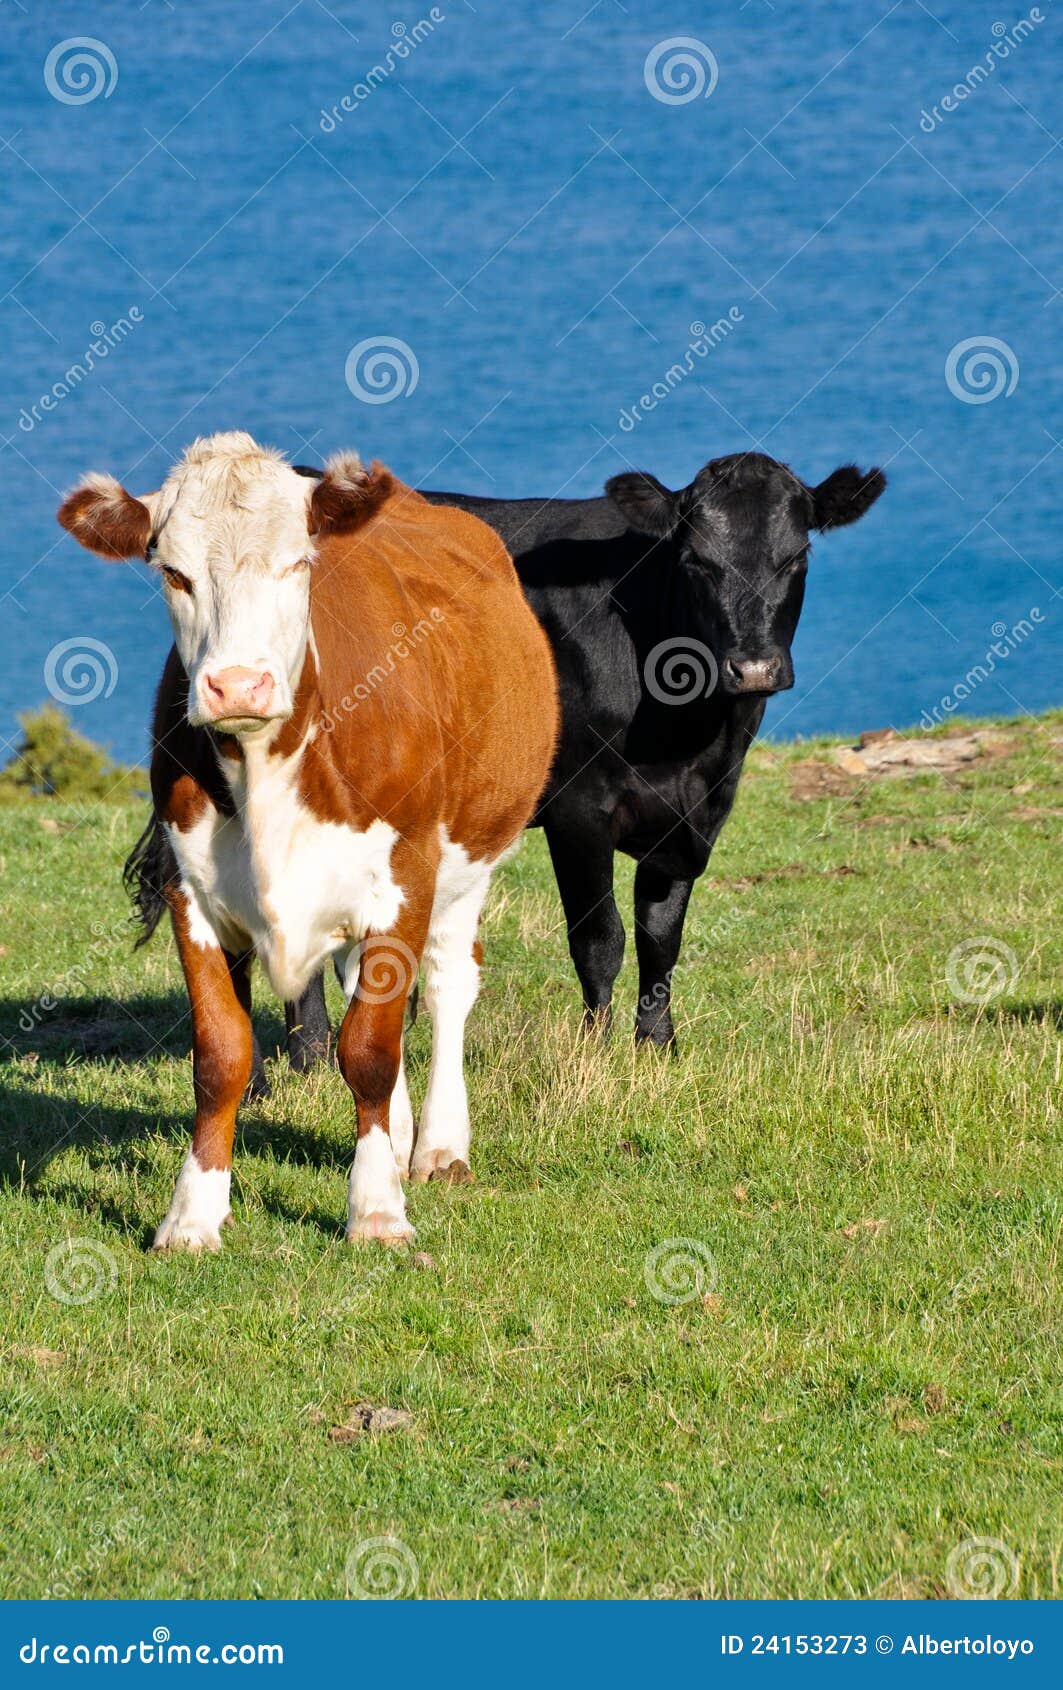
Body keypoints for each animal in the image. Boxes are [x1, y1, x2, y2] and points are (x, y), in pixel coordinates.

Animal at [58, 432, 558, 1250]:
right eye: (173, 572)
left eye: (298, 563)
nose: (237, 686)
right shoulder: (191, 889)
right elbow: (223, 1054)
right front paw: (193, 1215)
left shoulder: (406, 874)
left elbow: (370, 1050)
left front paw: (377, 1211)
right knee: (365, 989)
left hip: (471, 857)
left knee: (447, 984)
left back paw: (438, 1146)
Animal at [282, 450, 885, 1057]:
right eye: (696, 560)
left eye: (797, 556)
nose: (755, 668)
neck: (687, 734)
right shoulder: (578, 806)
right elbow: (599, 937)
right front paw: (596, 1049)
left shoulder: (698, 808)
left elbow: (660, 933)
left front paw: (656, 1045)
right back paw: (311, 1050)